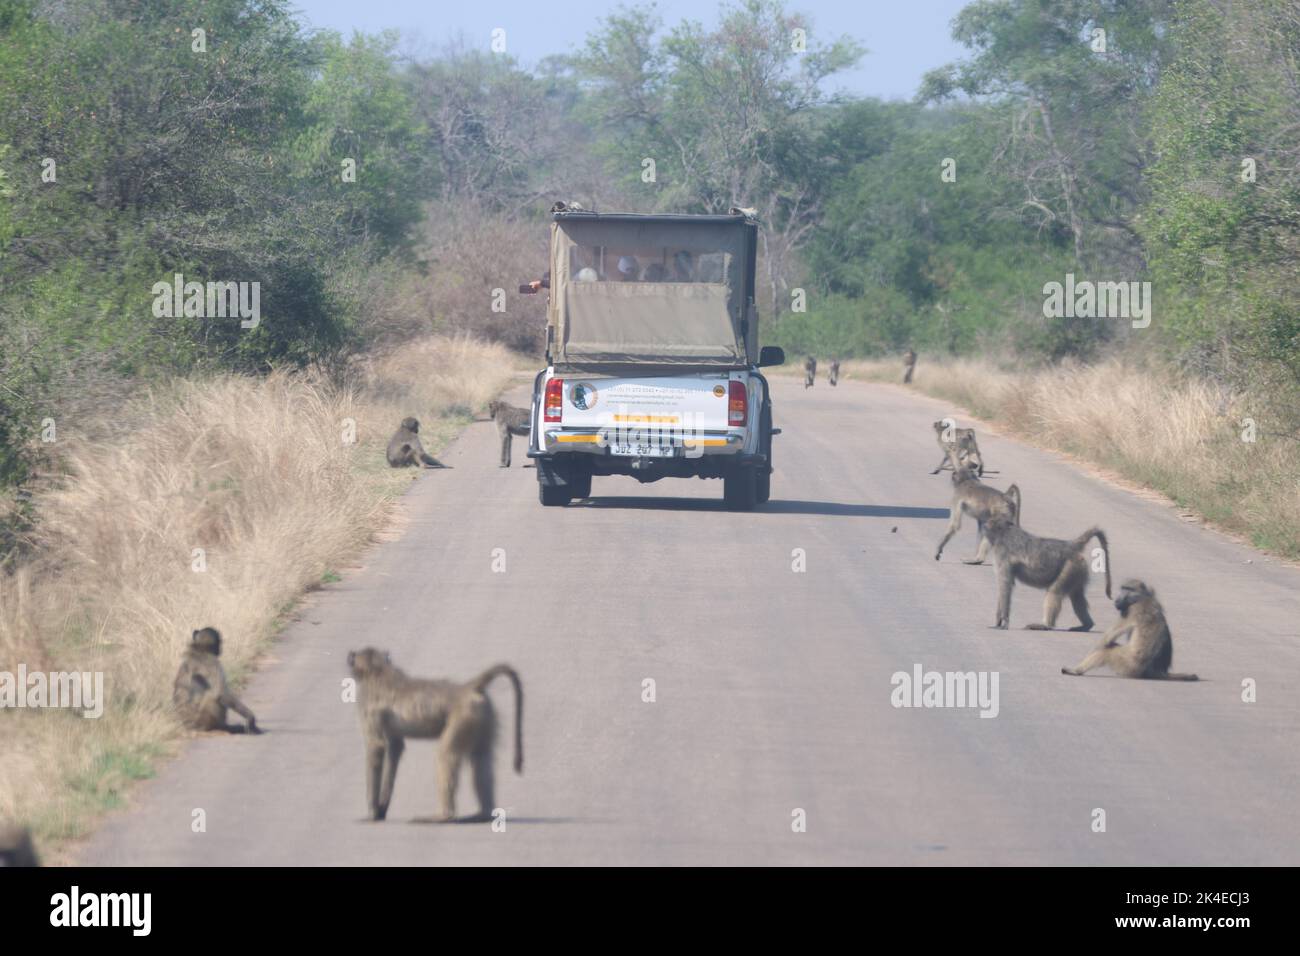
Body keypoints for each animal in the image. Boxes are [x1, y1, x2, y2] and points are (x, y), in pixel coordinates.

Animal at [347, 648, 523, 823]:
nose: (349, 657)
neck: (377, 670)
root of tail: (466, 688)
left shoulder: (366, 703)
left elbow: (376, 746)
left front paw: (372, 813)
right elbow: (395, 748)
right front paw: (382, 808)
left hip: (463, 718)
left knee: (445, 756)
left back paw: (442, 816)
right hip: (482, 716)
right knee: (481, 757)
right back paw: (482, 815)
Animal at [1062, 580, 1199, 680]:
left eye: (1128, 589)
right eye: (1123, 588)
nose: (1117, 599)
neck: (1143, 598)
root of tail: (1157, 672)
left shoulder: (1130, 611)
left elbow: (1105, 640)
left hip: (1128, 665)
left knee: (1107, 651)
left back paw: (1075, 671)